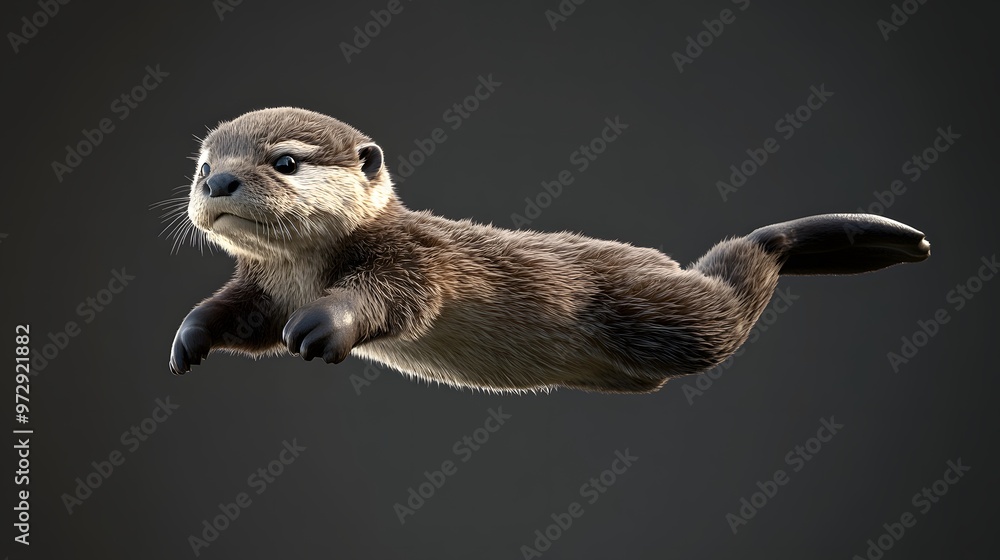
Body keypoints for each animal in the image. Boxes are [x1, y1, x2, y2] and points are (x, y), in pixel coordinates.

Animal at [164, 107, 930, 393]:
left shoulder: (412, 258)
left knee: (740, 278)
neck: (307, 272)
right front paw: (190, 336)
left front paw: (326, 323)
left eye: (285, 161)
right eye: (203, 165)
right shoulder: (265, 286)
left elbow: (394, 300)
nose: (221, 181)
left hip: (664, 315)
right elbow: (240, 318)